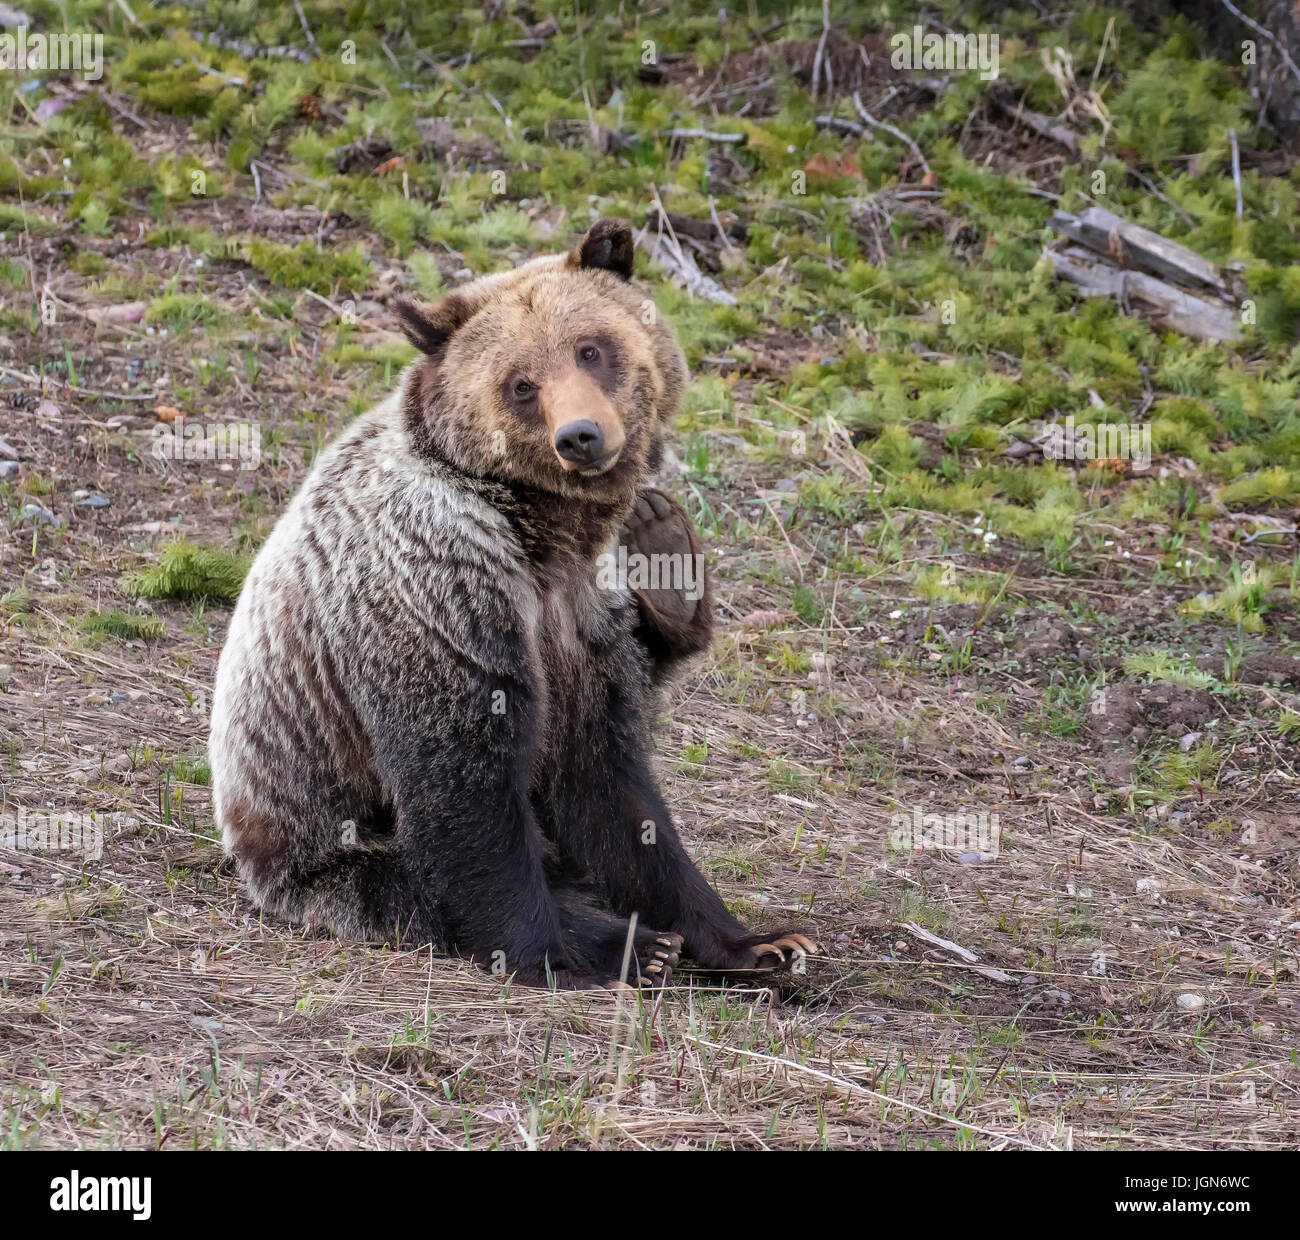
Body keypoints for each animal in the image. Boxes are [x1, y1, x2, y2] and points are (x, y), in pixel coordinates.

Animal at [208, 218, 816, 989]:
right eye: (521, 383)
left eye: (591, 348)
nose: (581, 435)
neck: (539, 531)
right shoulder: (439, 587)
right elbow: (467, 782)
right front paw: (573, 948)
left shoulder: (581, 616)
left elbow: (612, 785)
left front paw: (751, 940)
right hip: (318, 841)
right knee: (403, 883)